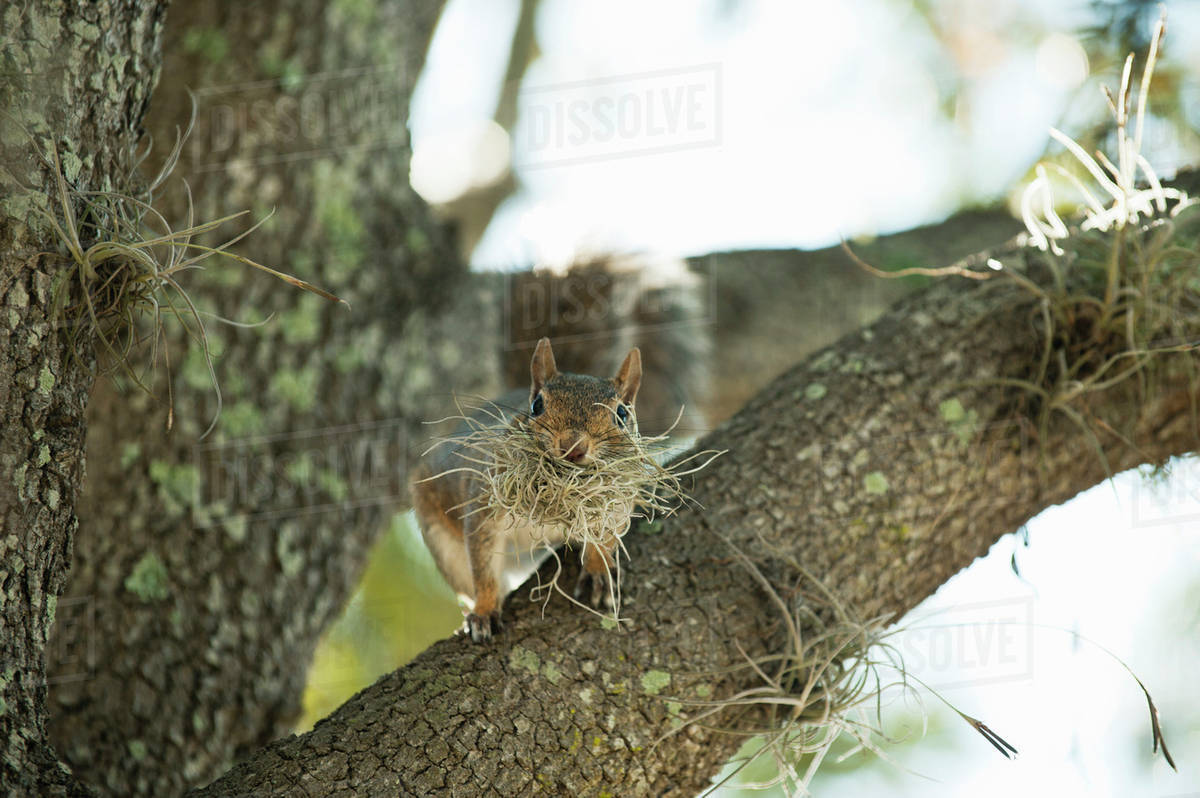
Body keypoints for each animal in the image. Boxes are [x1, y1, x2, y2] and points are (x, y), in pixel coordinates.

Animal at [410, 337, 643, 642]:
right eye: (537, 405)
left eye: (622, 413)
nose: (573, 446)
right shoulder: (484, 506)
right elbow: (483, 567)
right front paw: (485, 611)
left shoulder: (615, 506)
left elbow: (604, 541)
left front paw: (598, 571)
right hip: (442, 542)